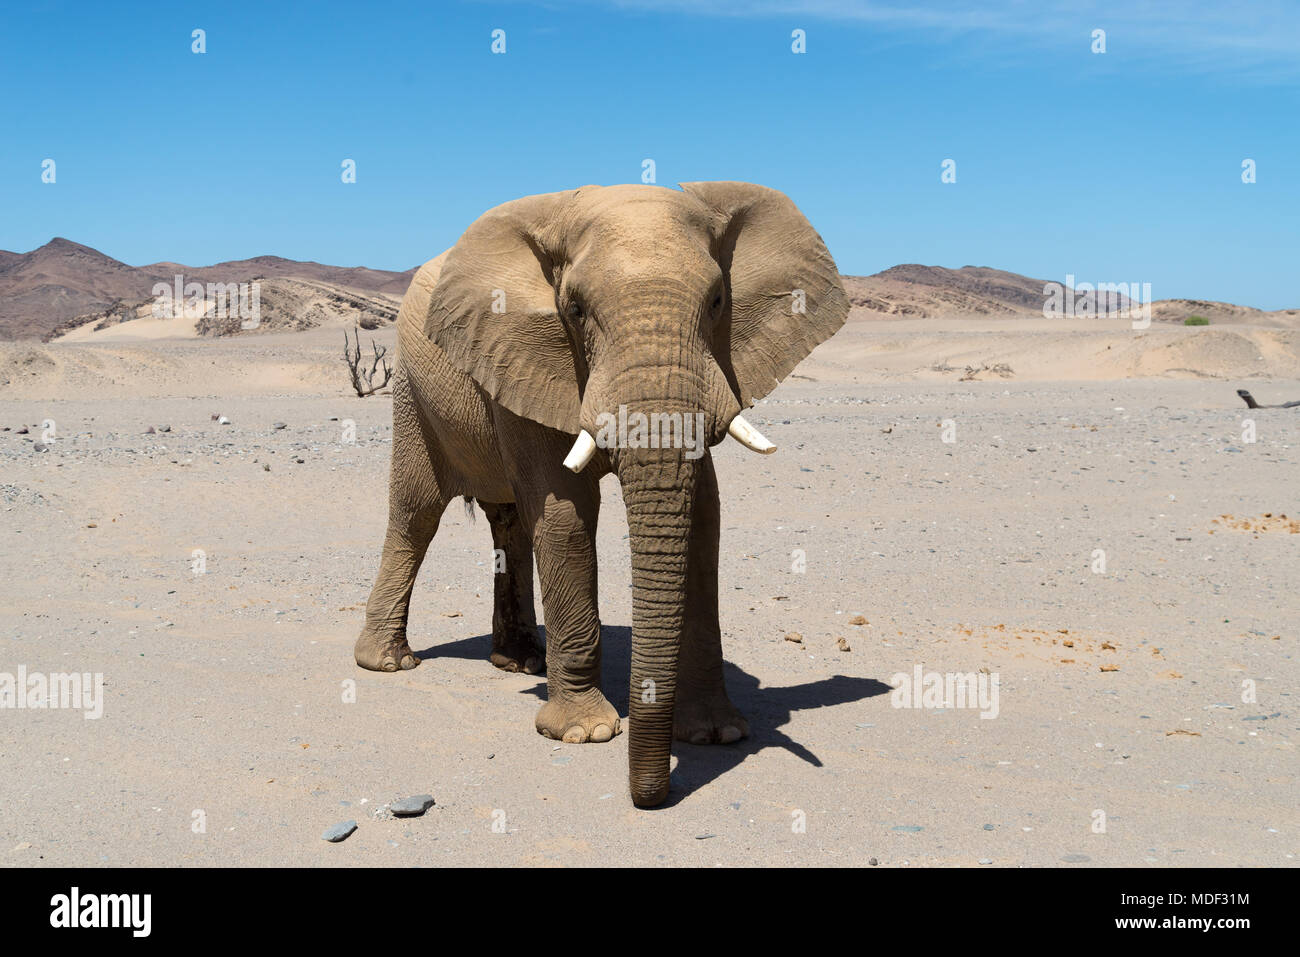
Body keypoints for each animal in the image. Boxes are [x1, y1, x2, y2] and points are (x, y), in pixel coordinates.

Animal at [353, 182, 849, 807]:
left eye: (718, 301)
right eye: (575, 310)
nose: (651, 796)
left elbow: (703, 517)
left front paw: (716, 734)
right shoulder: (528, 351)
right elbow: (565, 513)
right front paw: (583, 733)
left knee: (510, 523)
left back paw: (519, 661)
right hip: (414, 391)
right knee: (416, 512)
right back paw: (389, 663)